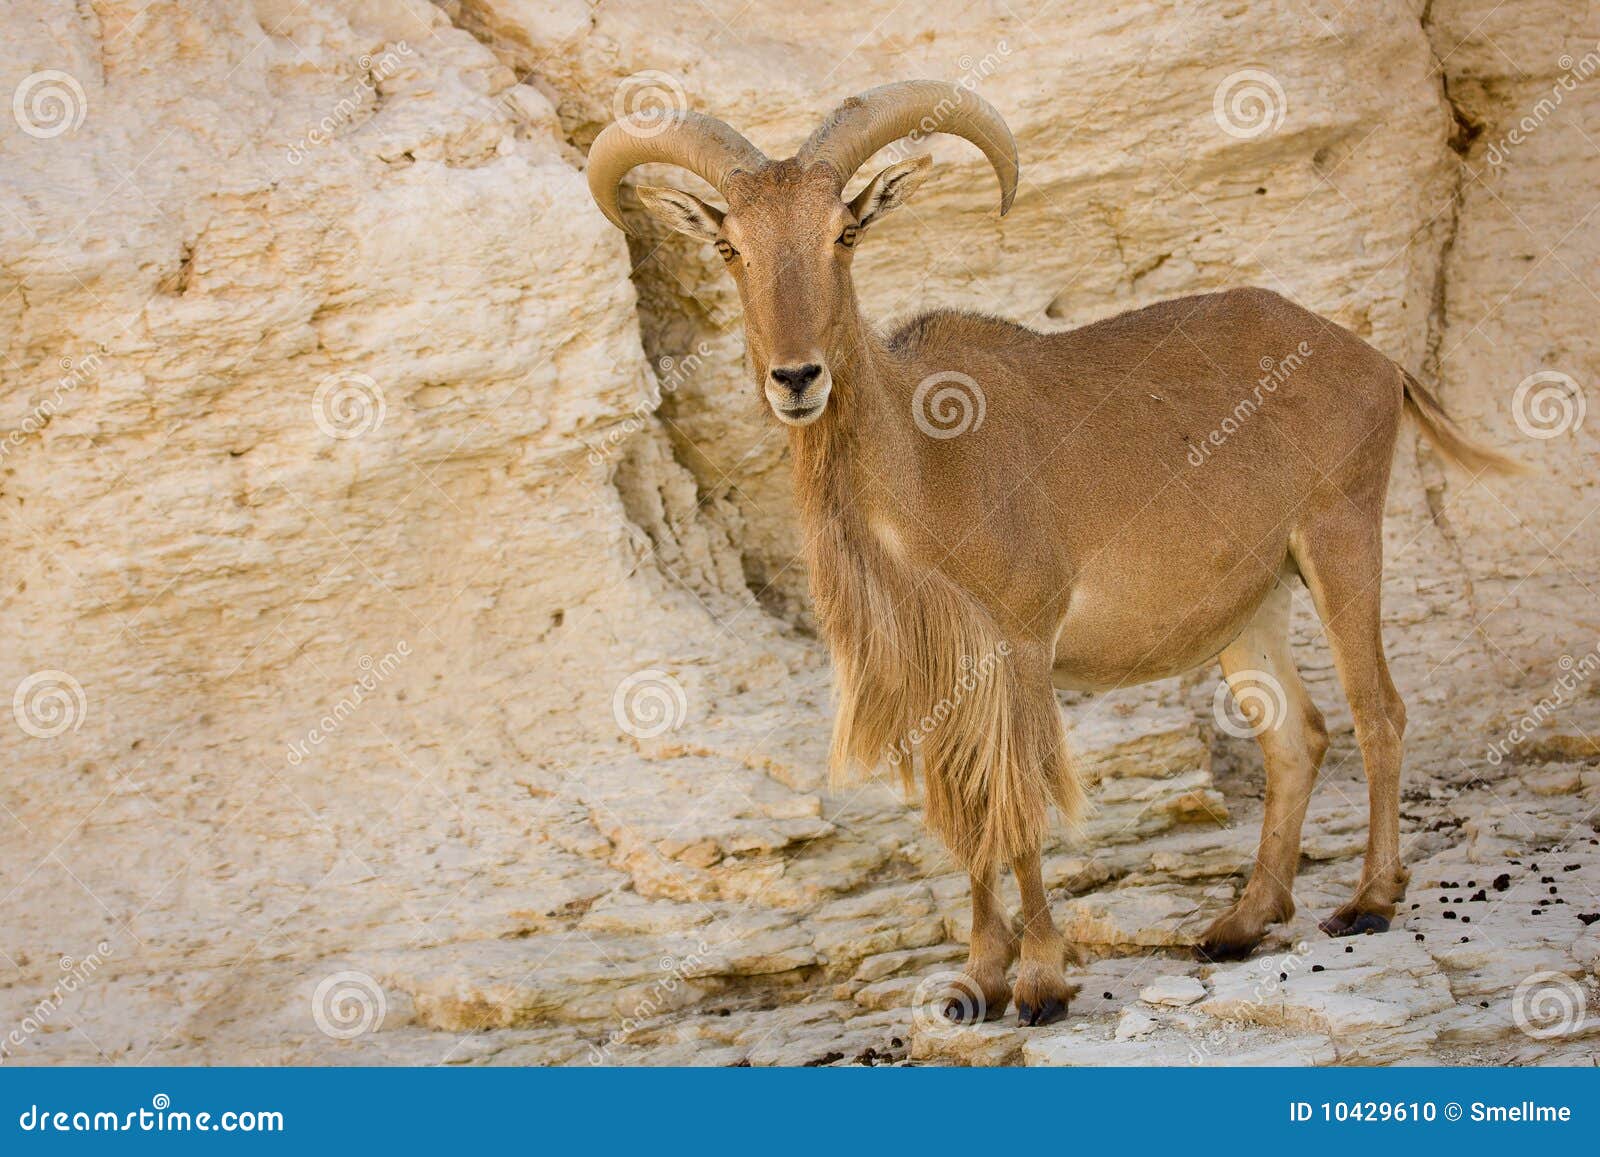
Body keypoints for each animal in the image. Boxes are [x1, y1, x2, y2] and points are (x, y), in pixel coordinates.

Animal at [586, 81, 1520, 1025]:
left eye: (843, 234)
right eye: (730, 245)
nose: (797, 378)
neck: (923, 462)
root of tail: (1374, 358)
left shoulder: (1021, 642)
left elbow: (1020, 804)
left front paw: (1038, 980)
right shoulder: (941, 673)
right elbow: (967, 812)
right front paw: (977, 977)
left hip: (1342, 536)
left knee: (1378, 711)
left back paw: (1369, 900)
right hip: (1254, 605)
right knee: (1297, 736)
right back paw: (1239, 922)